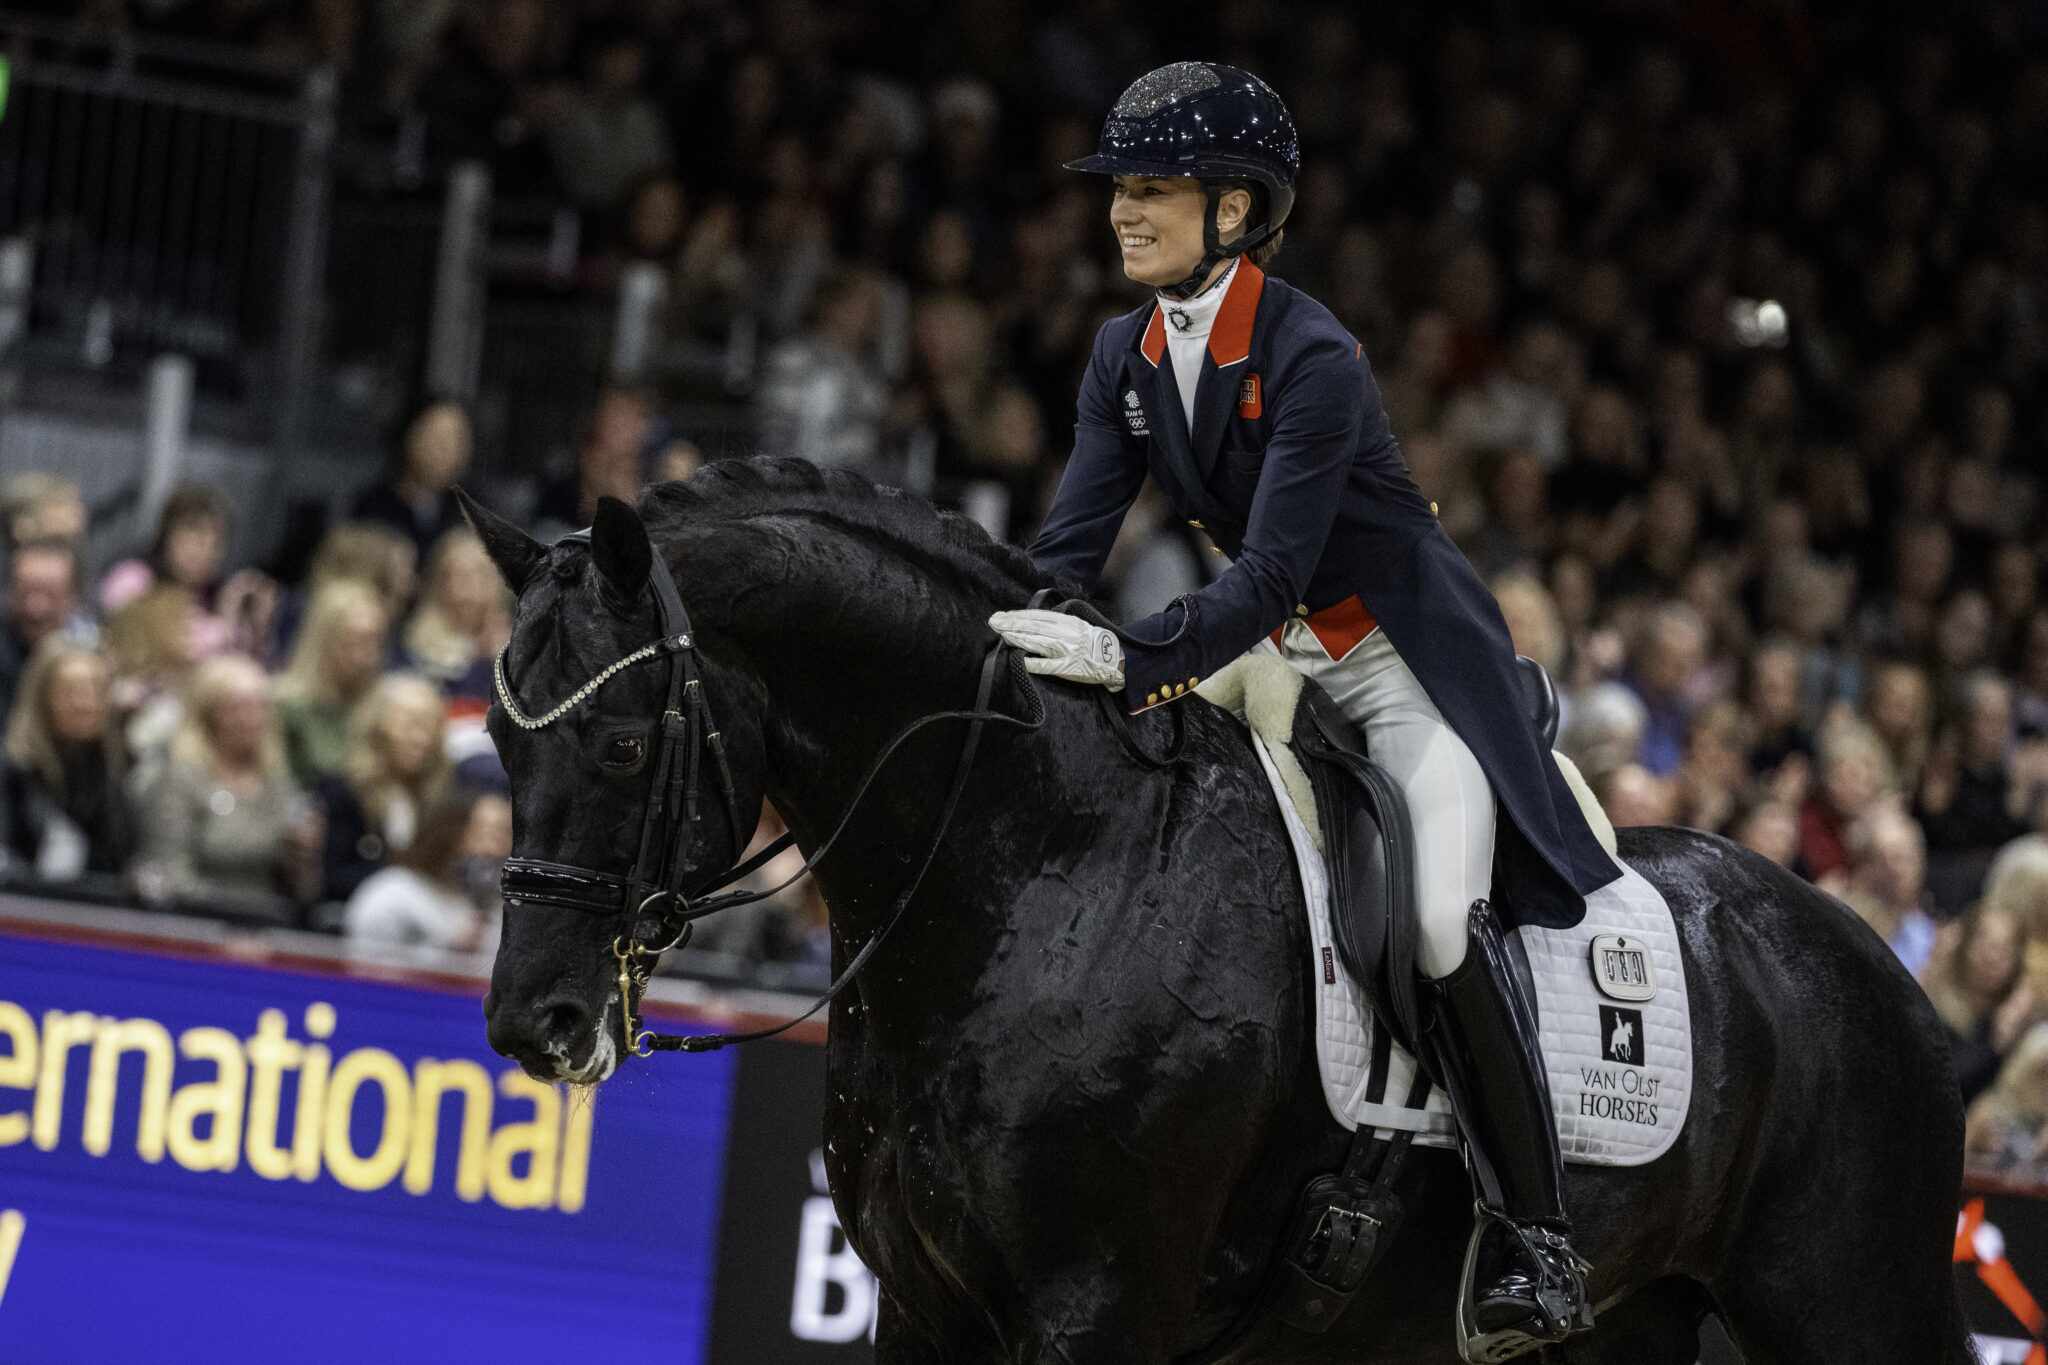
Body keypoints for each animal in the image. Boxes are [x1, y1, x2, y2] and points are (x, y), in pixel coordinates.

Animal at [470, 457, 1974, 1364]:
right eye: (494, 740)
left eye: (619, 747)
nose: (537, 1026)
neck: (1044, 870)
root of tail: (1882, 974)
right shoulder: (924, 1306)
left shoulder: (1096, 1311)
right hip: (1632, 1321)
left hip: (1849, 1310)